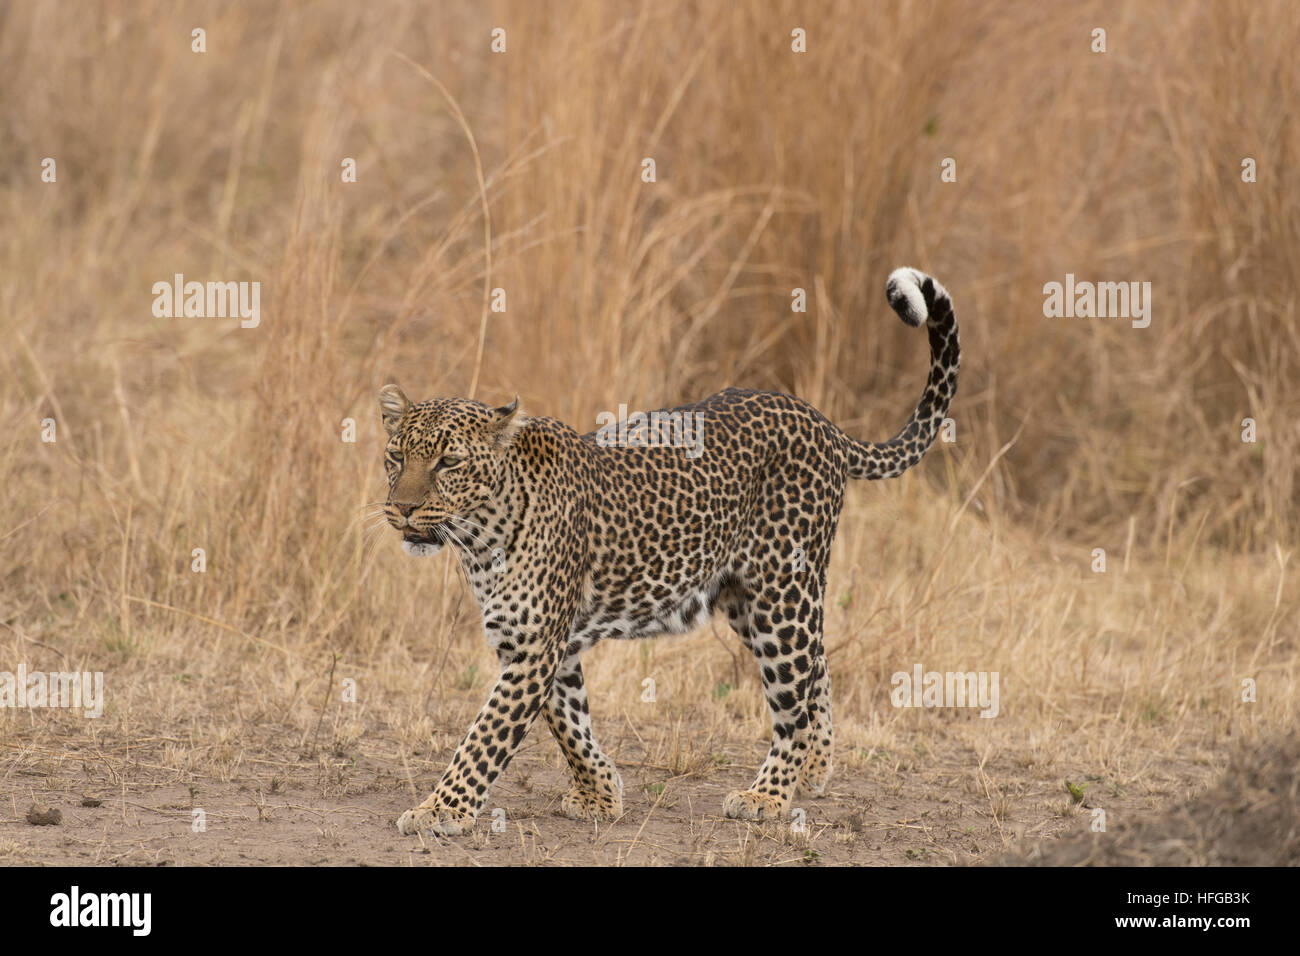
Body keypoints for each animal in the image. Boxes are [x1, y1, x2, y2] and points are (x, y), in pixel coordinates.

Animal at [382, 266, 959, 836]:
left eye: (449, 463)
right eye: (395, 456)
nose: (404, 509)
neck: (482, 536)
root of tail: (824, 423)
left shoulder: (535, 646)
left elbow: (487, 734)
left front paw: (442, 809)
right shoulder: (537, 643)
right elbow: (568, 722)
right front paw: (601, 794)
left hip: (783, 592)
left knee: (794, 694)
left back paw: (770, 794)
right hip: (744, 599)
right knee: (817, 664)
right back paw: (815, 769)